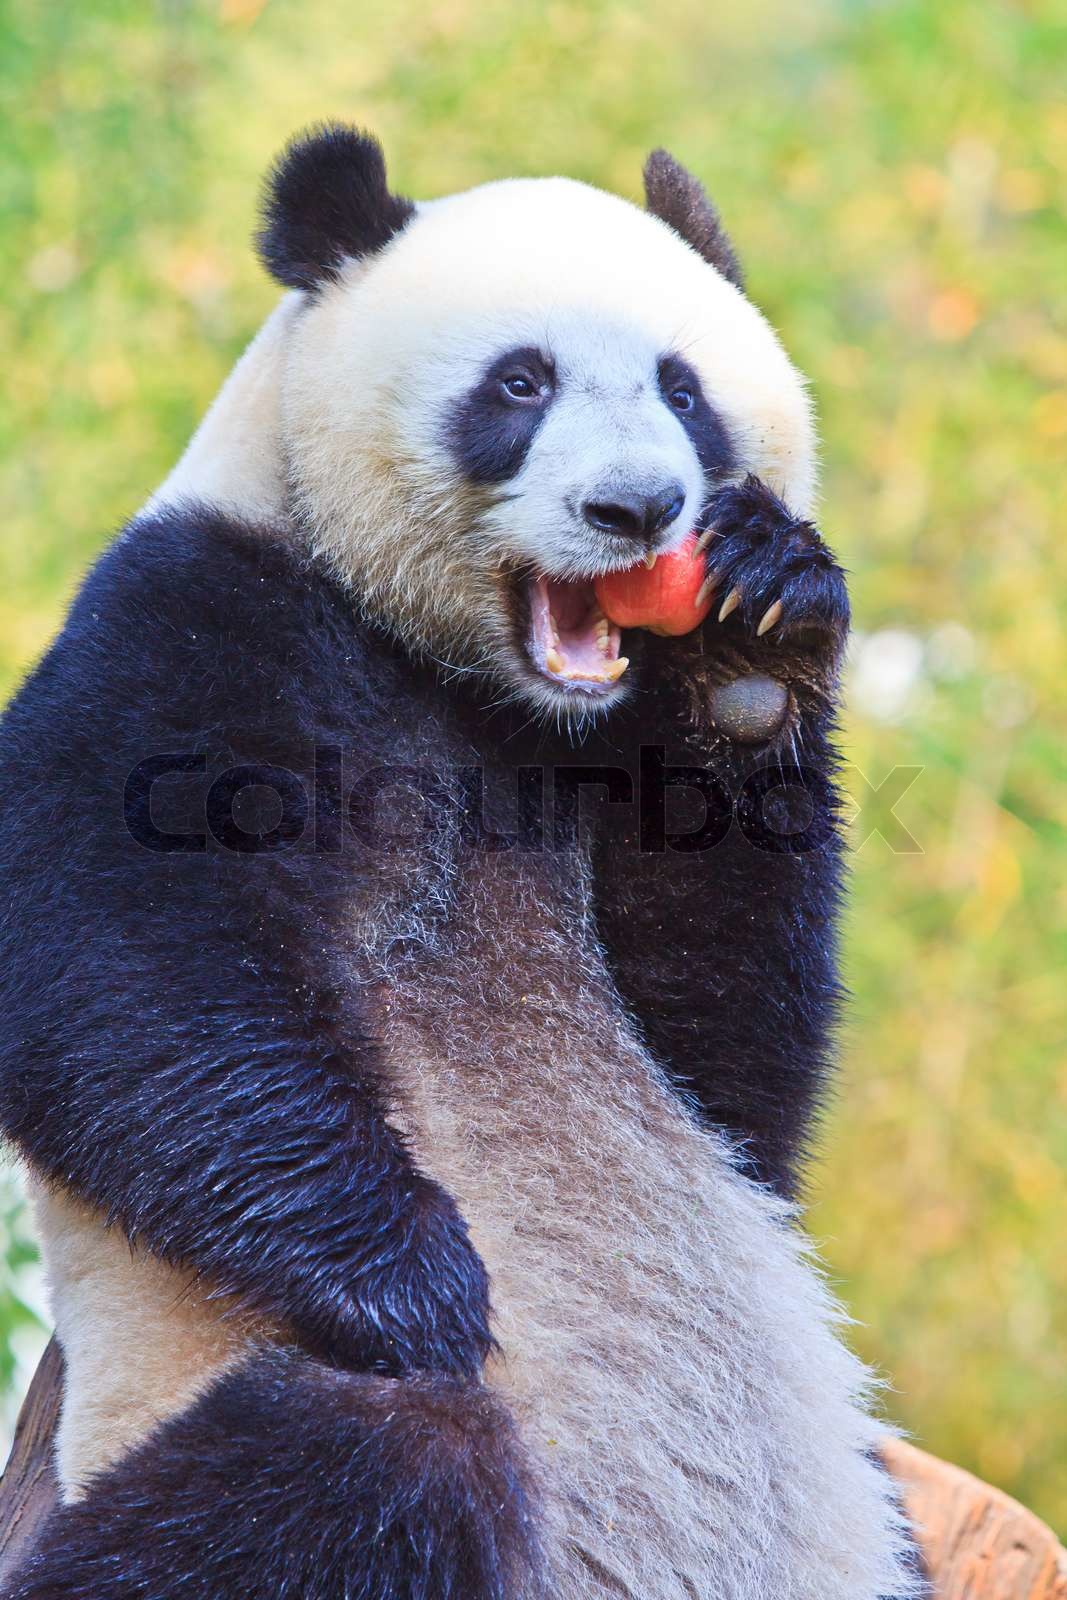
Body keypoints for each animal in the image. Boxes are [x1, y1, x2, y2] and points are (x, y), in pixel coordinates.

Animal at [0, 127, 925, 1599]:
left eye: (681, 389)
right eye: (518, 382)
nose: (635, 508)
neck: (488, 697)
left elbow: (734, 1078)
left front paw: (754, 621)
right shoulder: (204, 607)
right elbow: (109, 955)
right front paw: (412, 1278)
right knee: (366, 1461)